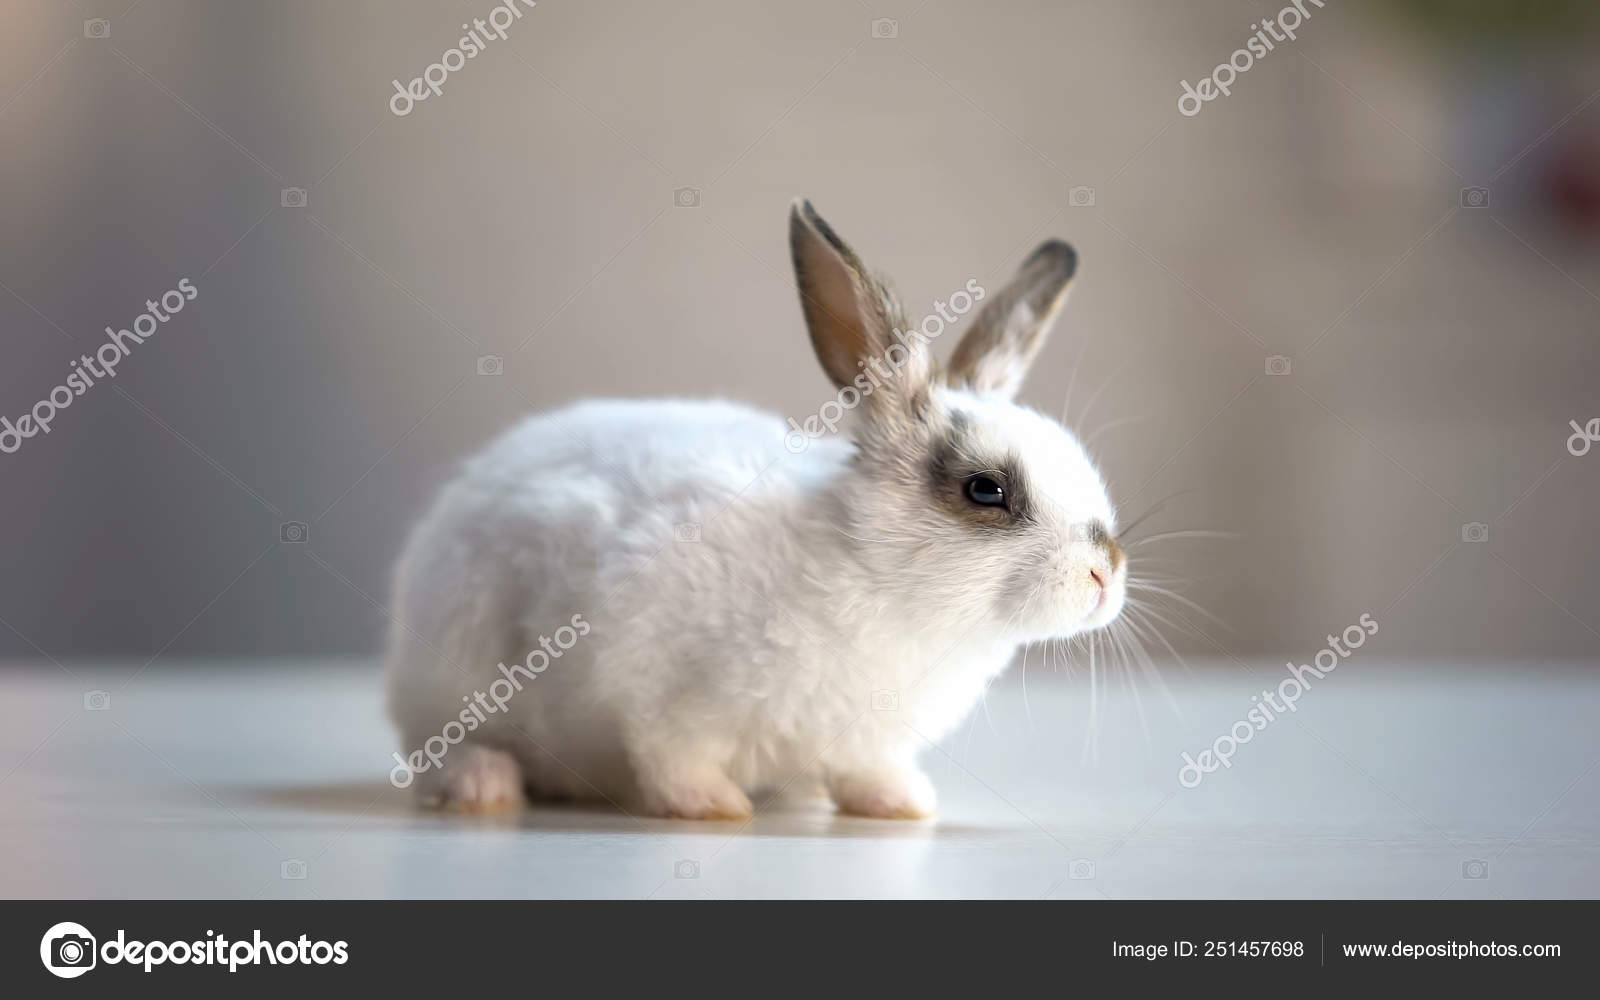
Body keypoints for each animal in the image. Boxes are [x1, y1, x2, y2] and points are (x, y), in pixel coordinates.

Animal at [384, 199, 1126, 820]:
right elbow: (669, 754)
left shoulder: (868, 741)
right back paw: (485, 786)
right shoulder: (652, 679)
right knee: (441, 750)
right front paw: (713, 807)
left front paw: (904, 805)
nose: (1106, 573)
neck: (874, 575)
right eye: (986, 490)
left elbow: (868, 772)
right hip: (453, 674)